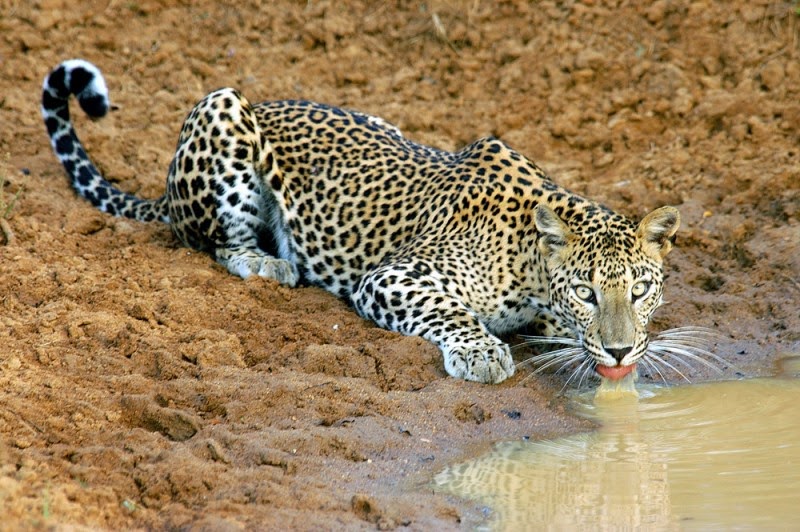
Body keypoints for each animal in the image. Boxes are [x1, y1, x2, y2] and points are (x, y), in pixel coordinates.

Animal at [41, 59, 680, 385]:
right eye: (586, 292)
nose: (620, 352)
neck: (528, 258)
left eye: (640, 289)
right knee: (216, 241)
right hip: (222, 109)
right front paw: (482, 353)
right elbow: (452, 312)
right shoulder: (396, 276)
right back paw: (268, 263)